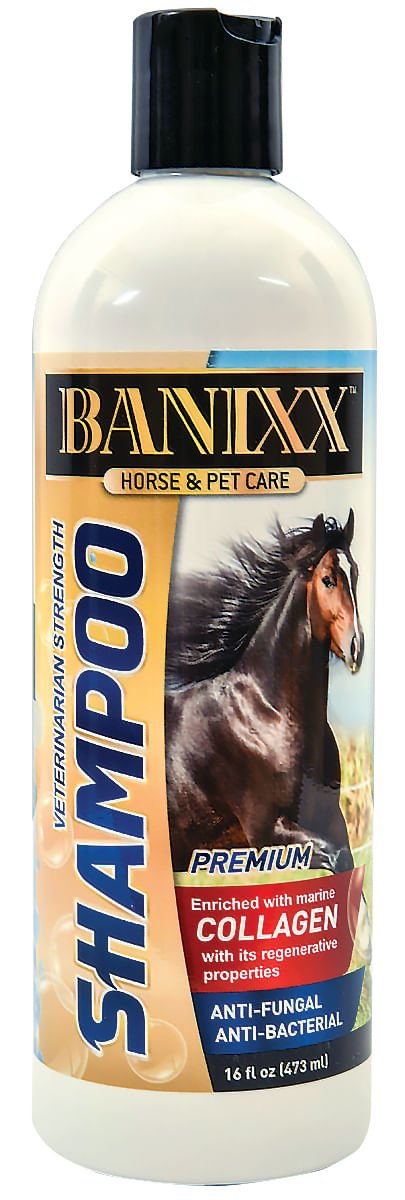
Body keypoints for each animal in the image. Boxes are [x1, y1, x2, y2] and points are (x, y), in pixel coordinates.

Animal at [165, 509, 364, 876]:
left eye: (354, 573)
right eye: (328, 579)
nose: (356, 648)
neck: (269, 714)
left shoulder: (331, 820)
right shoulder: (266, 831)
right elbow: (337, 858)